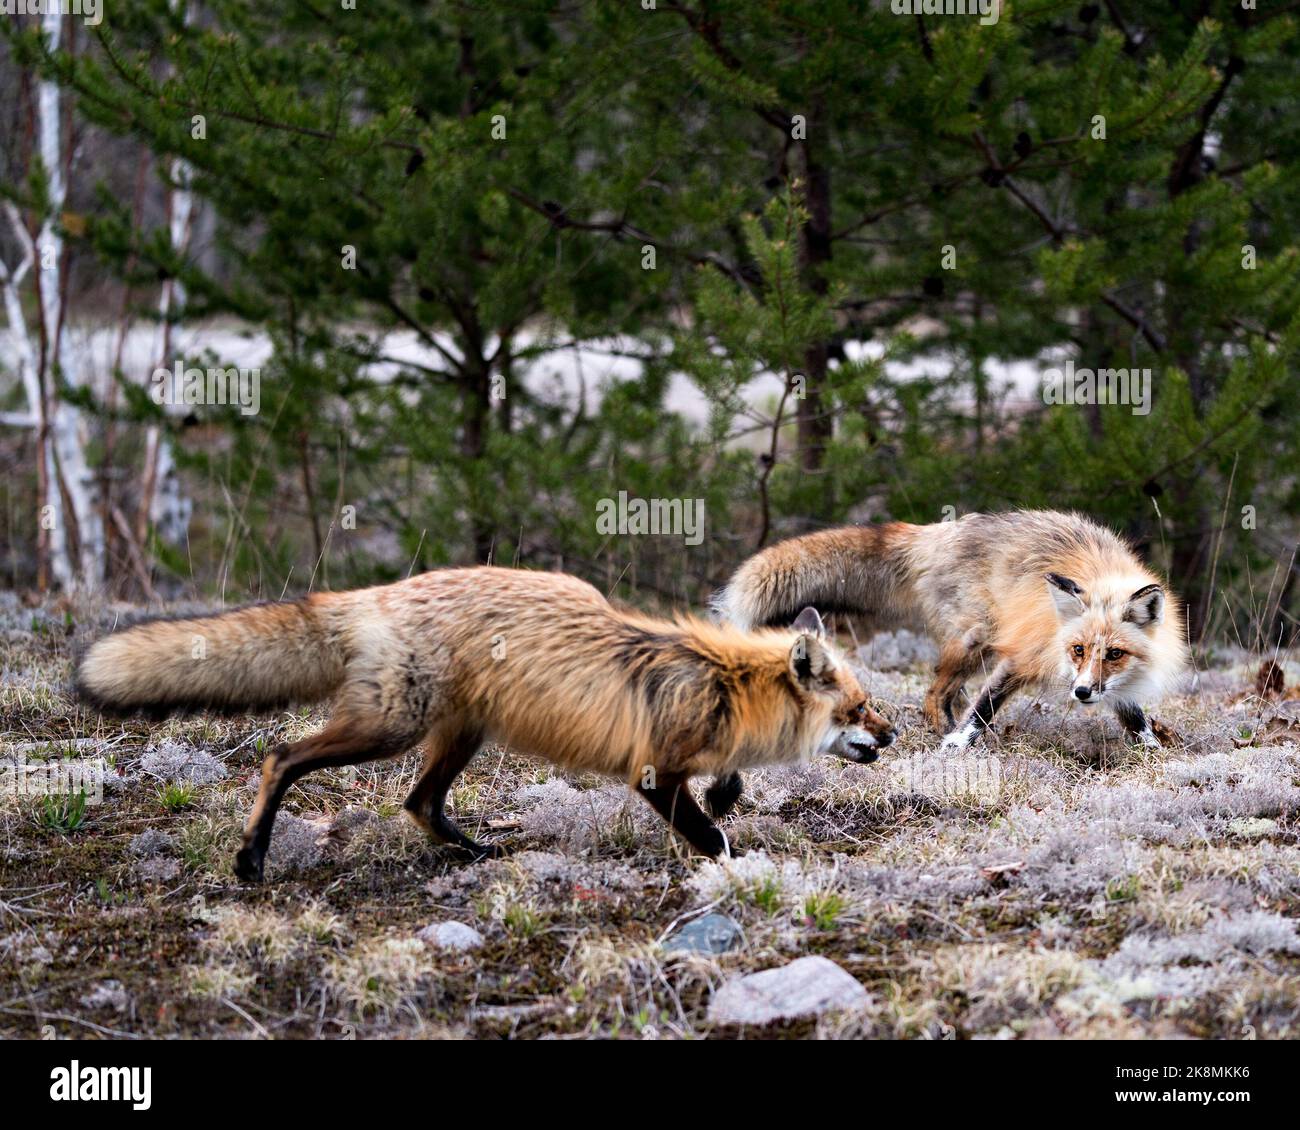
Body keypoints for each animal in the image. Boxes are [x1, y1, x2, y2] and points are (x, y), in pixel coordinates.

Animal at [75, 567, 896, 881]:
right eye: (859, 708)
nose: (893, 736)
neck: (726, 682)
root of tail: (377, 593)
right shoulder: (653, 772)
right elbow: (707, 831)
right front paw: (731, 859)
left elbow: (724, 786)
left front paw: (728, 794)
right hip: (389, 729)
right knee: (280, 756)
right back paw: (251, 858)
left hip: (460, 736)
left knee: (418, 803)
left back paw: (473, 852)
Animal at [713, 510, 1188, 753]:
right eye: (1078, 649)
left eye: (1115, 654)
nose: (1082, 693)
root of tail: (937, 532)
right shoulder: (1022, 653)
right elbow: (983, 708)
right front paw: (956, 749)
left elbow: (1134, 718)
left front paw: (1154, 752)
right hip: (975, 638)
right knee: (934, 695)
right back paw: (940, 732)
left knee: (949, 694)